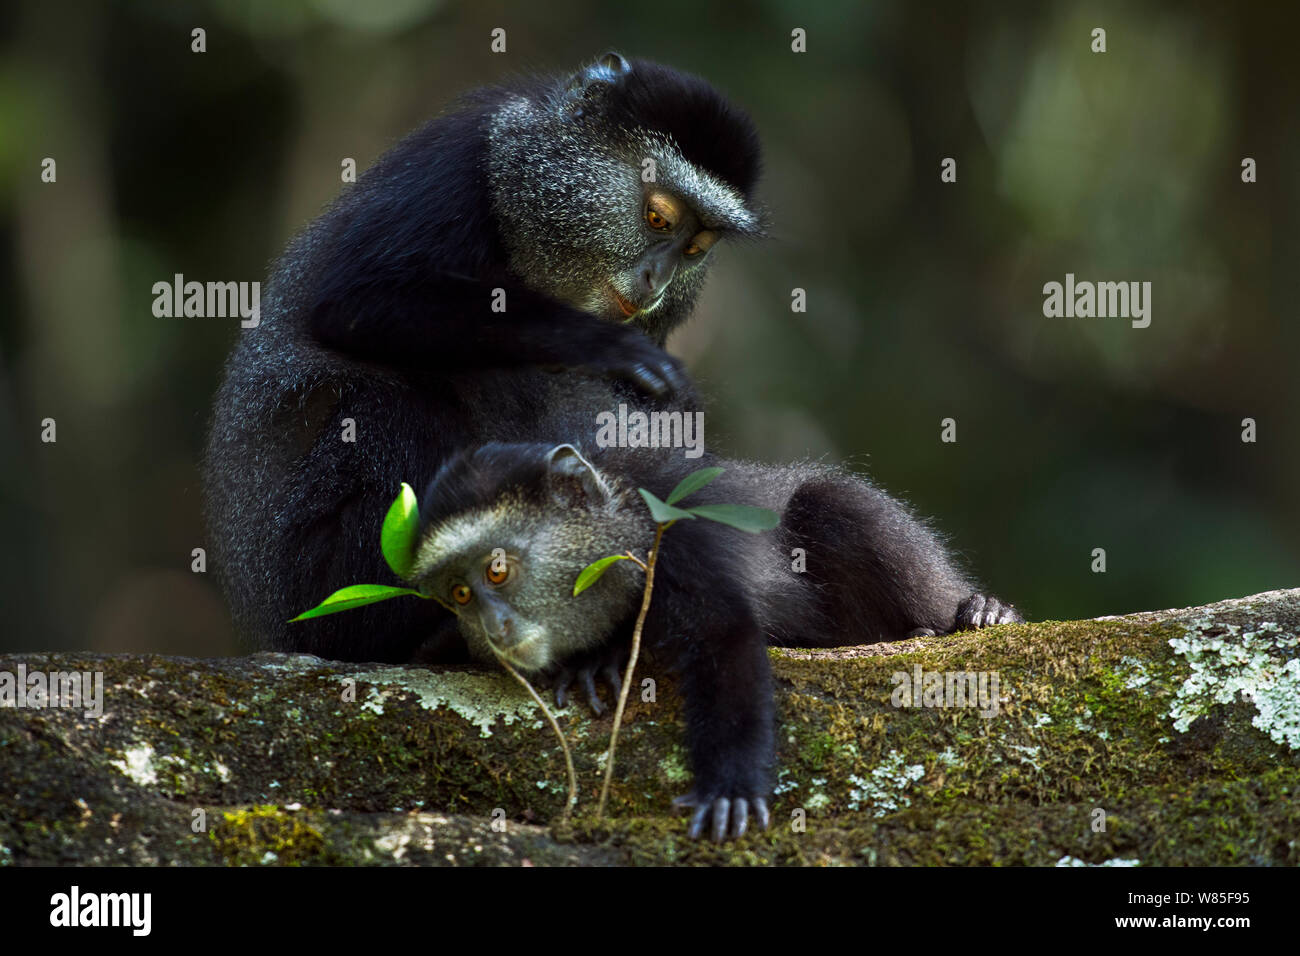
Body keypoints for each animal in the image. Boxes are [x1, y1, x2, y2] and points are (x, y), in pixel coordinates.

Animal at [202, 53, 765, 665]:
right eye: (658, 217)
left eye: (695, 248)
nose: (655, 281)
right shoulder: (456, 162)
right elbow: (352, 300)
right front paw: (606, 348)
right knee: (400, 406)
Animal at [406, 439, 1022, 841]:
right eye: (459, 594)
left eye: (498, 571)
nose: (492, 626)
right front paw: (593, 658)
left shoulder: (678, 540)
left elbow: (726, 640)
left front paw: (729, 787)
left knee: (832, 502)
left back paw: (980, 612)